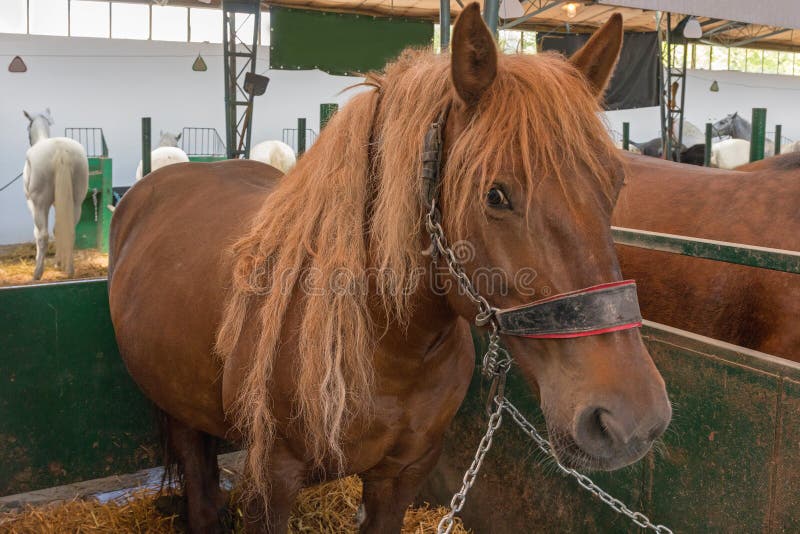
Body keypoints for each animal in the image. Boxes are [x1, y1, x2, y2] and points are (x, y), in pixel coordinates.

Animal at [22, 109, 89, 280]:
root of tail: (60, 151)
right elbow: (58, 229)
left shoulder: (32, 204)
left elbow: (37, 232)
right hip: (76, 203)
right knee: (69, 231)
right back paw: (68, 269)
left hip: (40, 204)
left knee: (43, 235)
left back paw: (37, 273)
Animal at [108, 8, 671, 533]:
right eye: (495, 195)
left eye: (616, 183)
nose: (631, 419)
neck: (387, 344)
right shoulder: (272, 480)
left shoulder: (402, 474)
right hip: (179, 411)